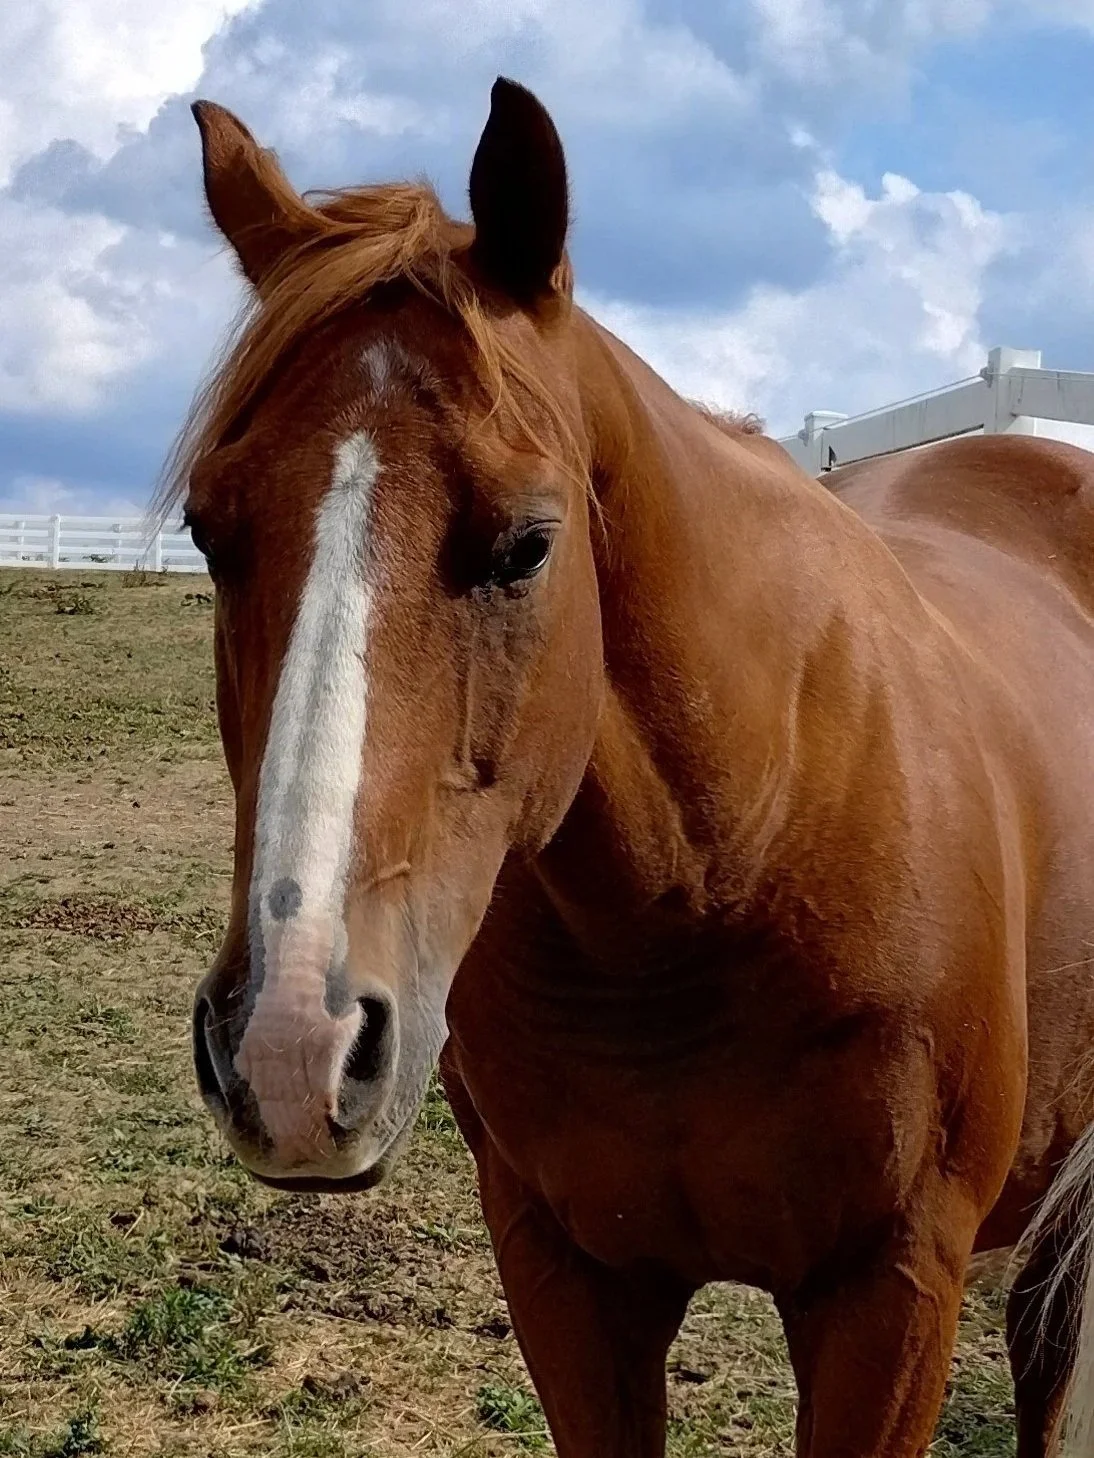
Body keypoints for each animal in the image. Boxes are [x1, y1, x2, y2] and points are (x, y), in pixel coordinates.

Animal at [170, 78, 1094, 1457]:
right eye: (209, 533)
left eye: (526, 544)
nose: (289, 1045)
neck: (726, 870)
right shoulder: (566, 1276)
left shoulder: (891, 1294)